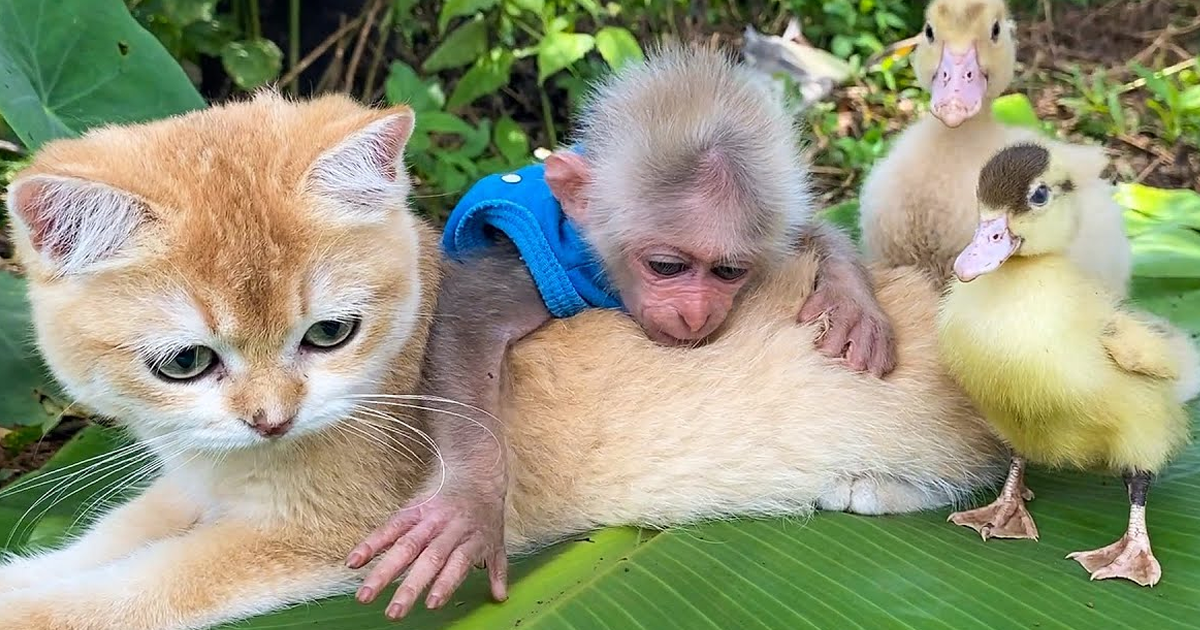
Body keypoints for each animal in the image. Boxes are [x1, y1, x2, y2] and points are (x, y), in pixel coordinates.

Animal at [343, 42, 898, 619]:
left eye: (727, 272)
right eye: (666, 267)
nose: (697, 312)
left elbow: (804, 230)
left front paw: (851, 298)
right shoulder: (542, 266)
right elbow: (465, 320)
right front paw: (470, 501)